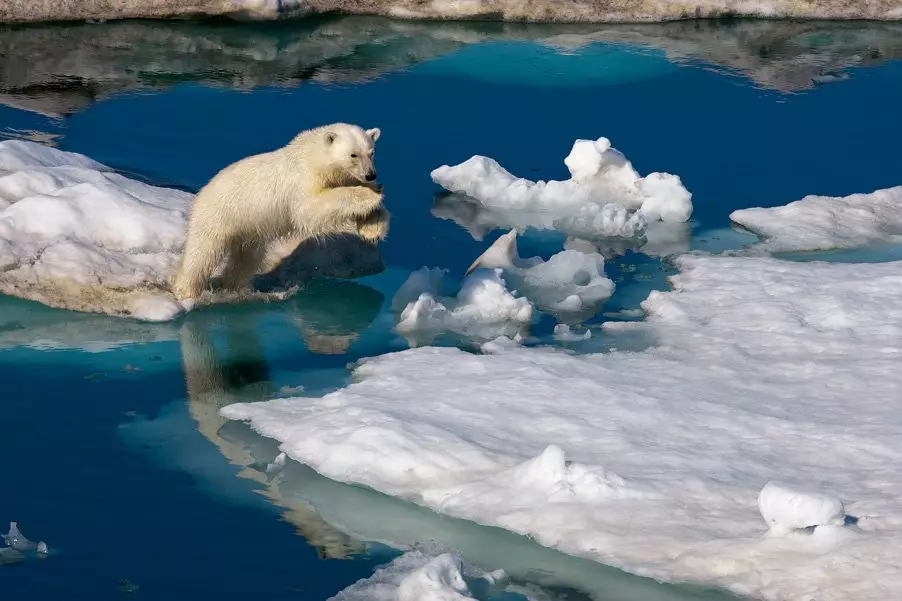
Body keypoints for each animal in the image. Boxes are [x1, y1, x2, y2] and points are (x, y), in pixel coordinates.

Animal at [171, 123, 390, 300]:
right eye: (353, 154)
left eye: (371, 152)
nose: (371, 175)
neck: (312, 155)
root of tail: (203, 192)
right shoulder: (302, 180)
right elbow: (312, 209)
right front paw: (371, 194)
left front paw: (373, 229)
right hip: (218, 215)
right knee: (201, 254)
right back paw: (186, 291)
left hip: (248, 229)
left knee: (246, 259)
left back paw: (232, 285)